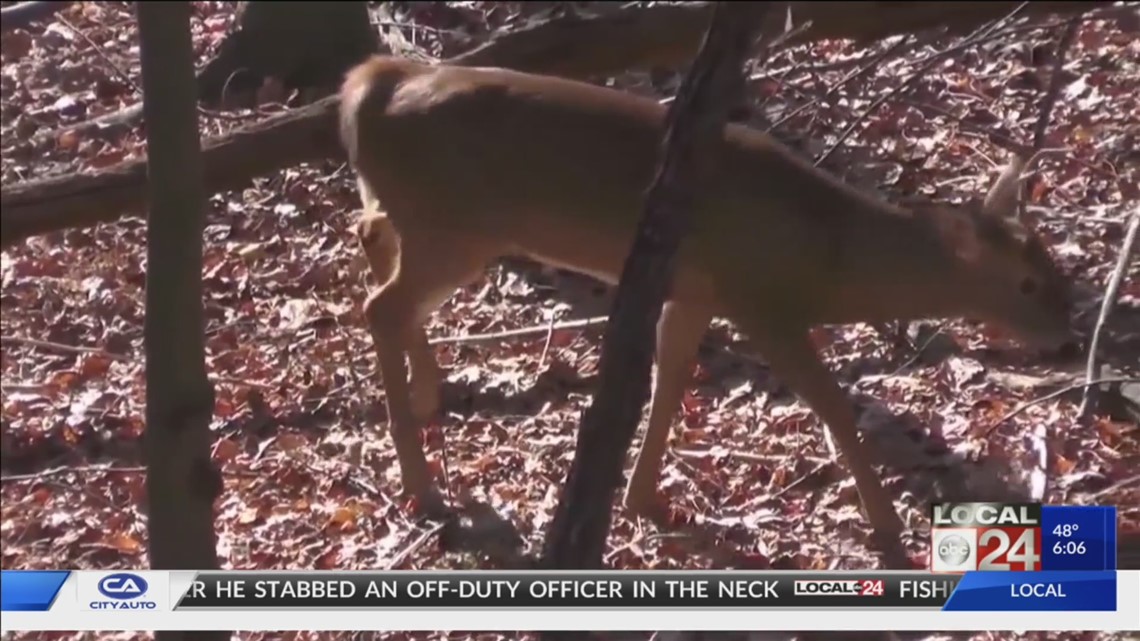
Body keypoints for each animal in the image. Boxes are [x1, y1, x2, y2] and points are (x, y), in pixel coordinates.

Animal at [338, 55, 1077, 566]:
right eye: (1028, 285)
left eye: (1054, 269)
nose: (1069, 338)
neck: (833, 256)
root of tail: (372, 83)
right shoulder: (761, 299)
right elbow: (834, 405)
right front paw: (890, 530)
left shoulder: (694, 291)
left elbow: (669, 378)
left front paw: (644, 499)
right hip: (456, 227)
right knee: (380, 305)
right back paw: (425, 485)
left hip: (429, 219)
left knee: (370, 238)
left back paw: (428, 396)